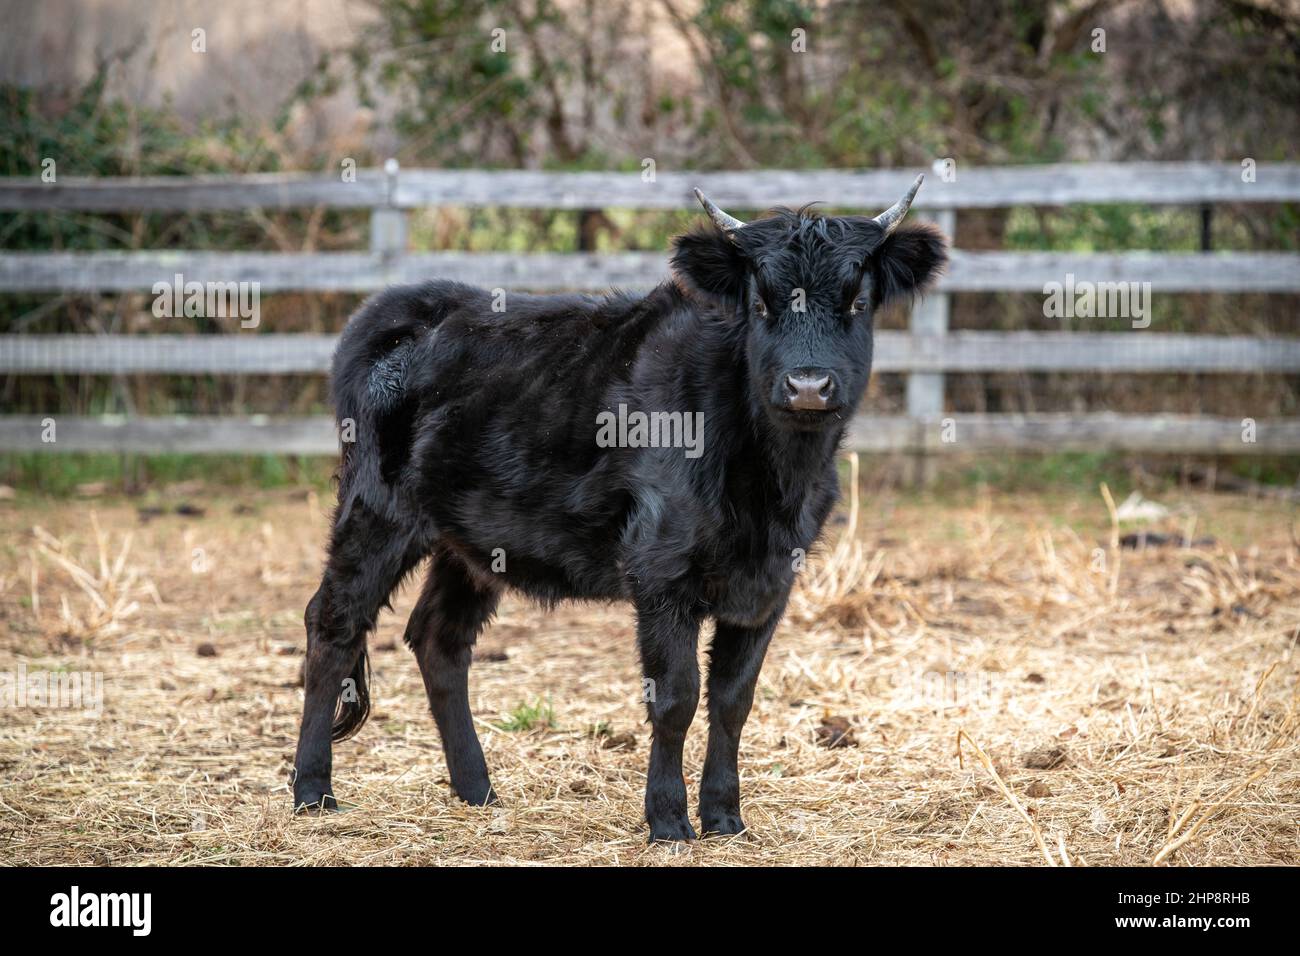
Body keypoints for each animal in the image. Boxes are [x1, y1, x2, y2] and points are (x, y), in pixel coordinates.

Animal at [291, 176, 948, 841]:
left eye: (856, 302)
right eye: (761, 305)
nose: (808, 385)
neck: (772, 483)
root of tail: (399, 305)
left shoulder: (770, 581)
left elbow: (734, 700)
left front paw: (724, 816)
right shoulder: (660, 572)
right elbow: (677, 698)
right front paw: (668, 819)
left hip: (473, 538)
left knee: (439, 639)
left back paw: (477, 791)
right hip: (378, 508)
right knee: (334, 623)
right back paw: (312, 791)